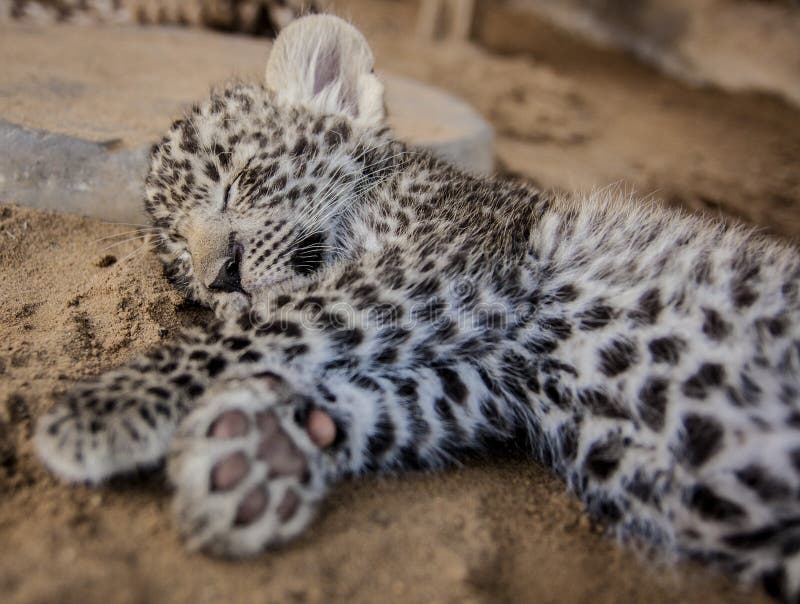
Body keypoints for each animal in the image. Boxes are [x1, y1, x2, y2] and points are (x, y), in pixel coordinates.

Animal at [33, 14, 800, 602]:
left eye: (238, 179)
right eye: (177, 260)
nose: (220, 276)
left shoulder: (453, 265)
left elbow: (280, 323)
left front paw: (101, 410)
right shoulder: (489, 381)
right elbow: (390, 404)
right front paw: (262, 453)